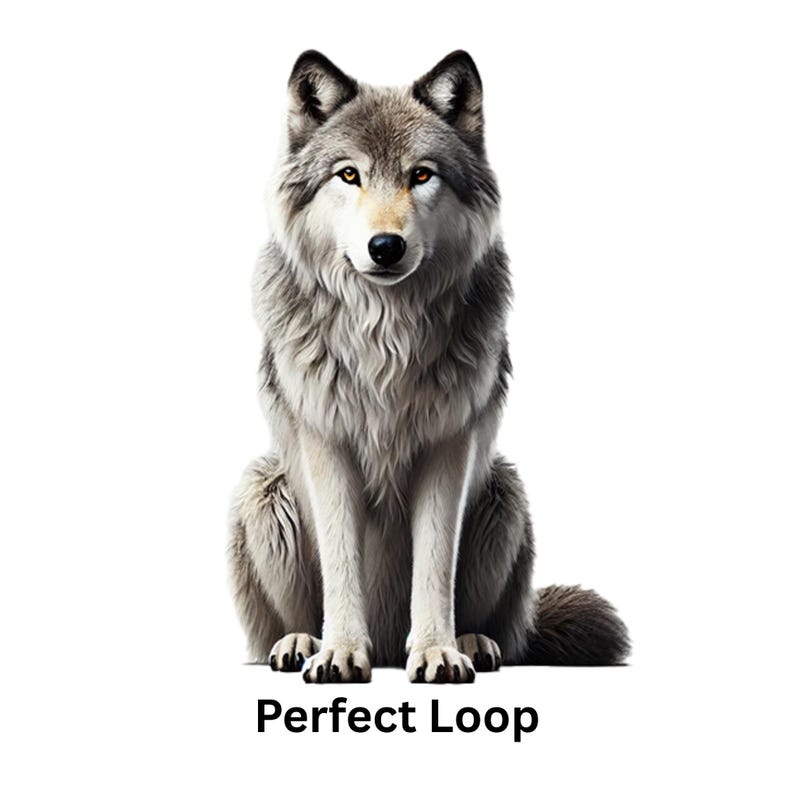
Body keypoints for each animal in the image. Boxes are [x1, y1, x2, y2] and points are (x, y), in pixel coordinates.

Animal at [228, 50, 630, 683]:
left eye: (421, 175)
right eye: (349, 175)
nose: (386, 247)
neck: (384, 337)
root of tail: (389, 646)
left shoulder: (449, 447)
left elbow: (436, 564)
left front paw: (438, 652)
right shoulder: (326, 446)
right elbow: (341, 564)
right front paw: (340, 652)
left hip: (503, 494)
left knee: (501, 627)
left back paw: (473, 642)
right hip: (263, 490)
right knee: (282, 619)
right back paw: (299, 644)